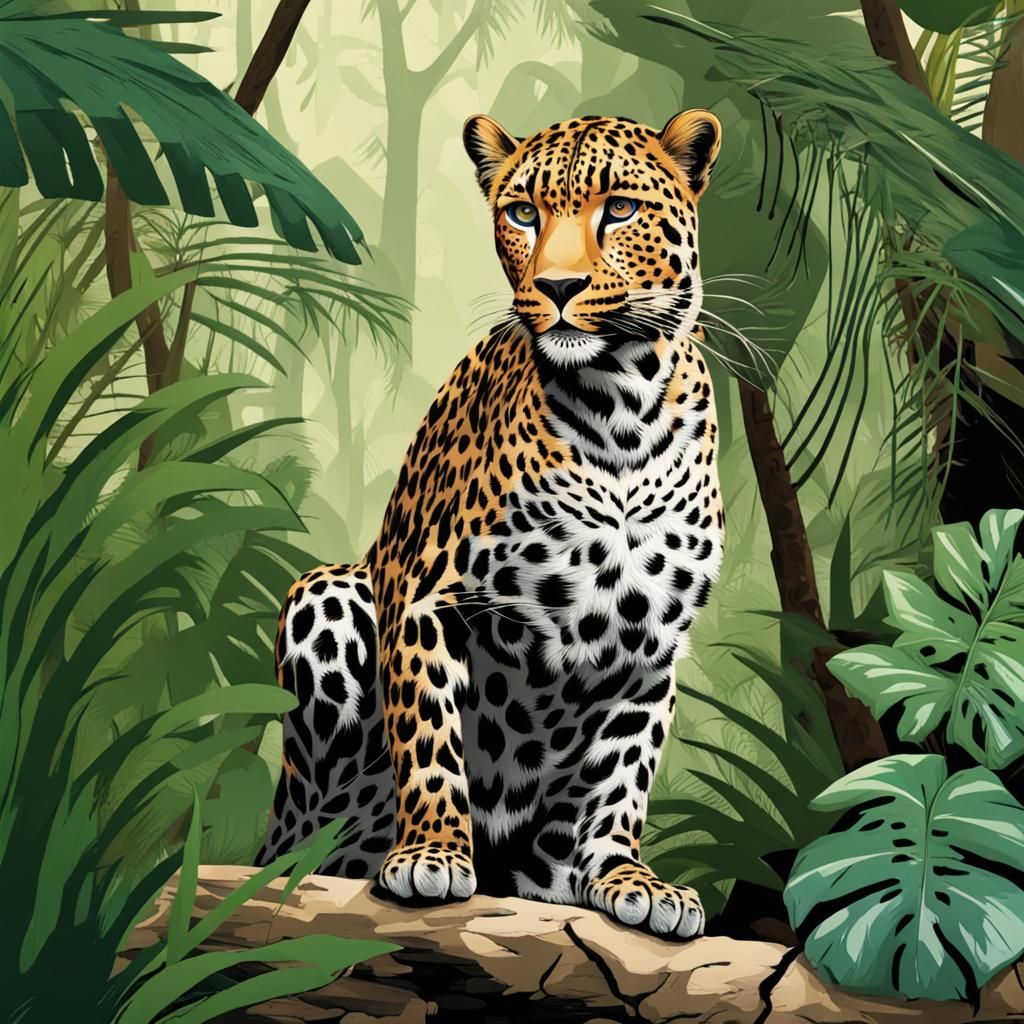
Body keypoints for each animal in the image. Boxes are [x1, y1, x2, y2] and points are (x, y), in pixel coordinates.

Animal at [257, 109, 725, 941]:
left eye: (621, 209)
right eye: (522, 213)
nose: (559, 287)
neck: (622, 416)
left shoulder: (653, 651)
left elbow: (625, 774)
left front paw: (627, 877)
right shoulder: (427, 599)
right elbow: (430, 738)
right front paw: (435, 854)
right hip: (331, 596)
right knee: (316, 829)